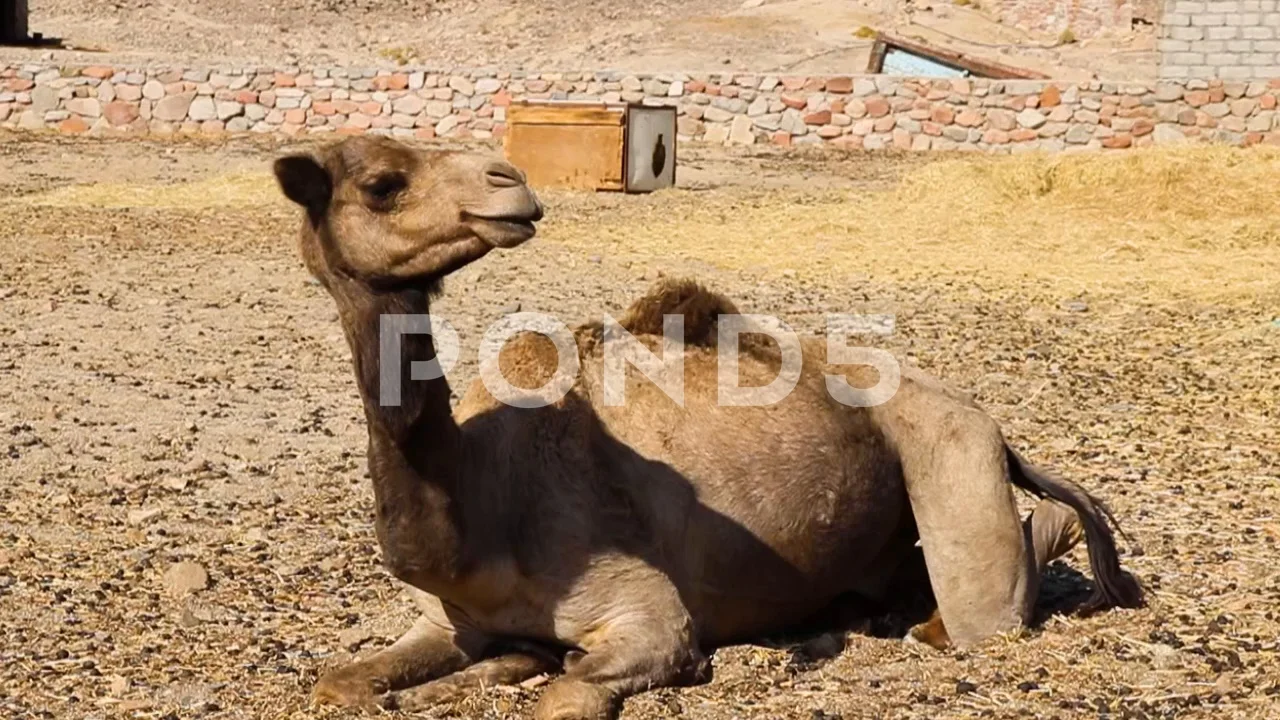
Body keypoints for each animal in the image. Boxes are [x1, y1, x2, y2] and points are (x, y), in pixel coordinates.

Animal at [272, 136, 1144, 720]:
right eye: (383, 183)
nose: (510, 182)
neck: (483, 503)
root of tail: (984, 417)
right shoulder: (443, 616)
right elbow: (339, 681)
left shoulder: (651, 619)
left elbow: (569, 693)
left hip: (953, 454)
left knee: (984, 606)